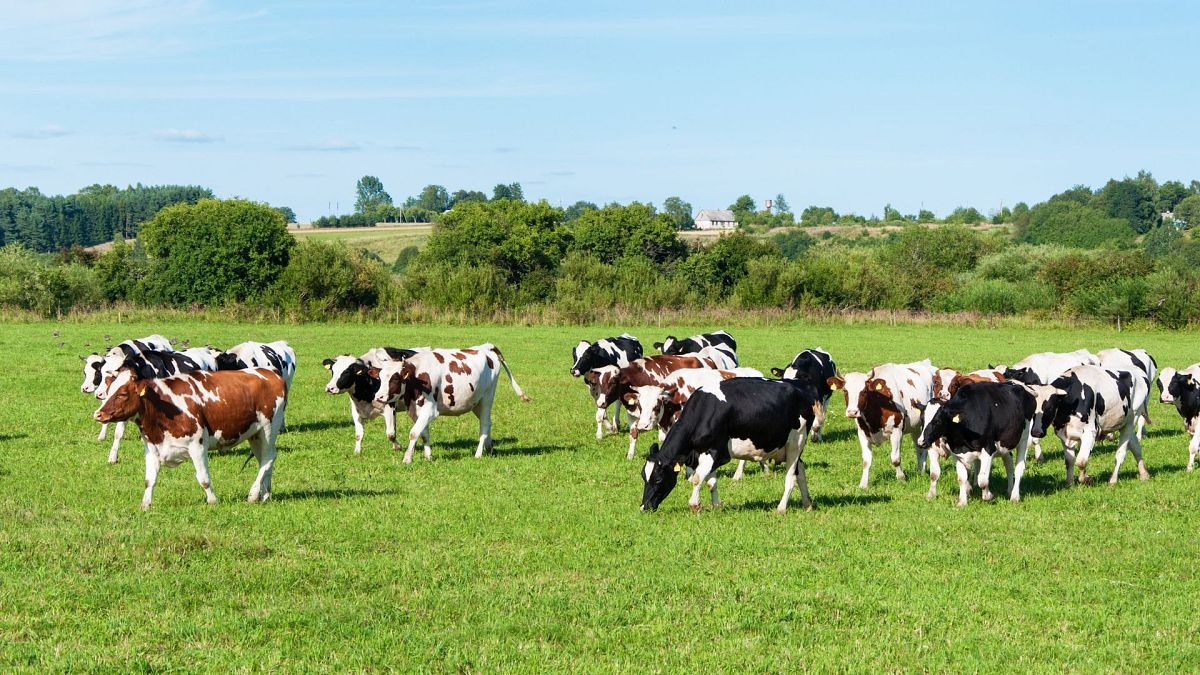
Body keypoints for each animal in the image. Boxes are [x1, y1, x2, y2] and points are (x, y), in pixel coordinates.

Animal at [93, 367, 287, 509]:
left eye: (122, 394)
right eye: (109, 390)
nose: (98, 414)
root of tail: (271, 374)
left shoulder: (197, 445)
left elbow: (203, 478)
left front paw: (212, 501)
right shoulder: (152, 448)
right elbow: (149, 480)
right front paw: (145, 505)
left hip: (269, 428)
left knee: (269, 458)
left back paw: (253, 495)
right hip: (255, 434)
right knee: (264, 461)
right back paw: (265, 495)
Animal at [373, 344, 530, 463]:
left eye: (395, 379)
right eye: (380, 377)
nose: (378, 397)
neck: (417, 376)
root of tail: (486, 347)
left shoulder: (430, 410)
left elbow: (414, 433)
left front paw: (407, 458)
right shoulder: (415, 410)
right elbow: (424, 434)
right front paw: (428, 456)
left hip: (487, 398)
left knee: (484, 425)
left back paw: (478, 453)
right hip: (476, 403)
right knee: (487, 423)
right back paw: (489, 447)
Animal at [640, 377, 818, 513]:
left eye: (658, 479)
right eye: (643, 477)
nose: (644, 507)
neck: (705, 410)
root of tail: (801, 387)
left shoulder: (716, 452)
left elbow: (697, 479)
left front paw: (694, 505)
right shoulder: (704, 452)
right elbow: (711, 482)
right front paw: (716, 506)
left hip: (797, 441)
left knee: (791, 476)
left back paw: (781, 509)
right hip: (787, 448)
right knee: (800, 471)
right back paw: (807, 504)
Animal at [829, 359, 936, 489]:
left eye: (864, 391)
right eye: (845, 390)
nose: (852, 412)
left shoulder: (896, 432)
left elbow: (895, 458)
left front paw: (901, 478)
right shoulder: (862, 434)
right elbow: (866, 461)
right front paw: (863, 484)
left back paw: (922, 471)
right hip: (915, 427)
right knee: (918, 446)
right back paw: (920, 470)